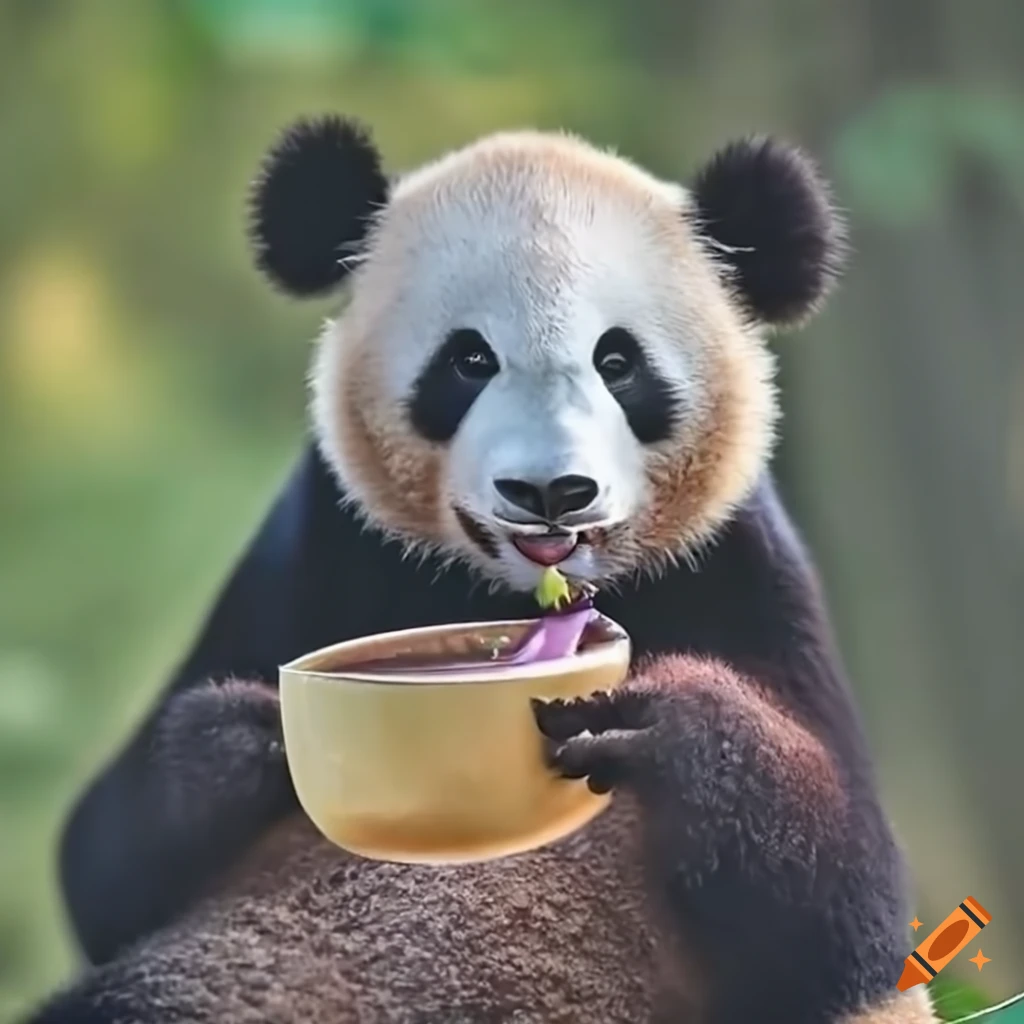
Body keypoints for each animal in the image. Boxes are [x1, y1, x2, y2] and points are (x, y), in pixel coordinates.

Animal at [28, 116, 937, 1024]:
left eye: (618, 362)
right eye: (468, 361)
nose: (550, 492)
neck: (503, 595)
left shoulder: (739, 563)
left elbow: (850, 905)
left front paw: (664, 724)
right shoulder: (313, 548)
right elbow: (98, 862)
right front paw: (253, 739)